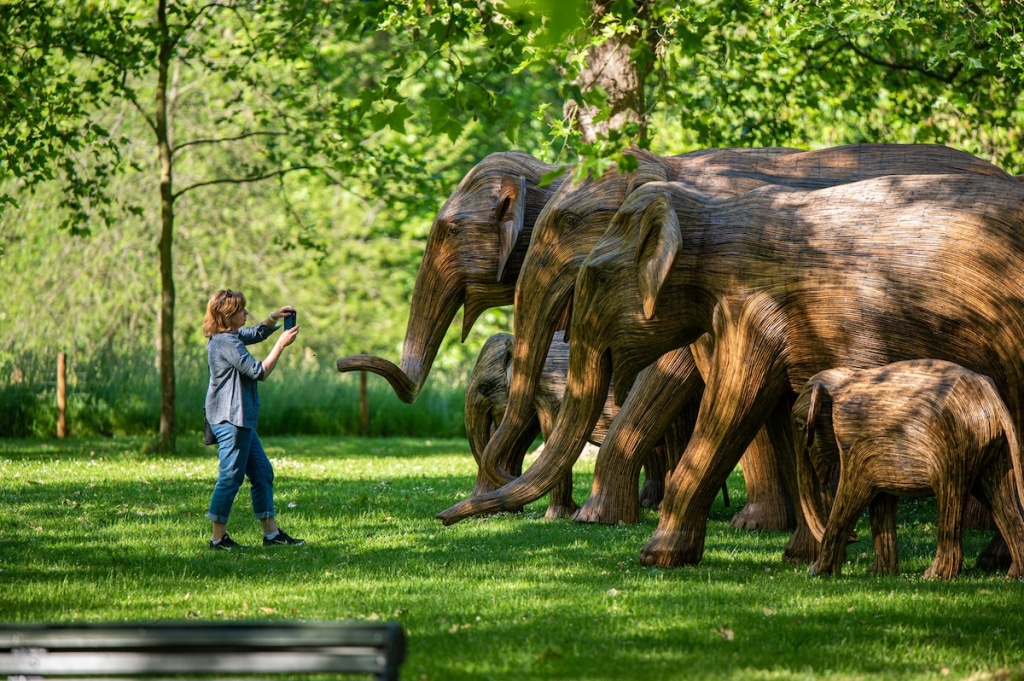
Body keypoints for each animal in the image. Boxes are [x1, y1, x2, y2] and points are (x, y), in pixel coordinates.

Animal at [791, 360, 1024, 579]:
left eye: (800, 425)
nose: (855, 537)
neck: (842, 380)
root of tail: (991, 397)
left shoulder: (854, 443)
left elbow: (853, 496)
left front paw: (816, 573)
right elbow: (881, 501)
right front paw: (878, 574)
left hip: (955, 445)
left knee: (950, 495)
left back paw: (934, 576)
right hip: (991, 446)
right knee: (1000, 499)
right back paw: (1013, 576)